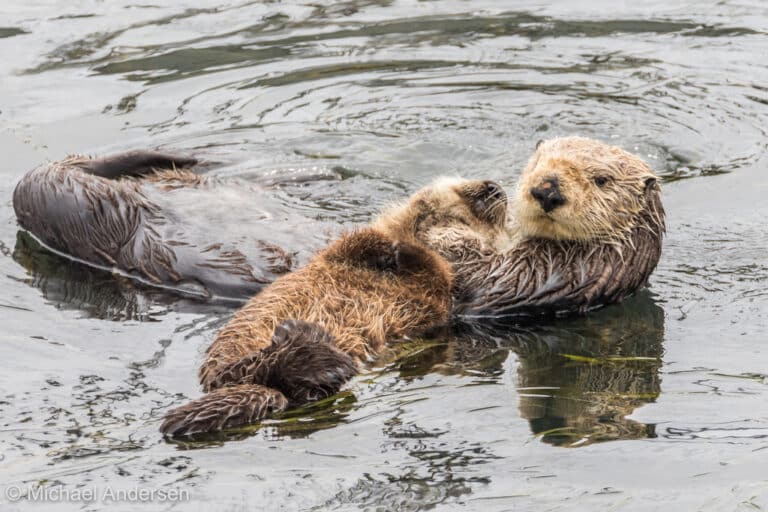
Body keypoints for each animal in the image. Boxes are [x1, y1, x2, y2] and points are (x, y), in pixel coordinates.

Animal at [160, 178, 508, 436]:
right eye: (463, 187)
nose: (493, 187)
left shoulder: (437, 295)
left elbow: (433, 272)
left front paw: (411, 248)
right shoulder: (341, 252)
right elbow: (359, 242)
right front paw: (395, 240)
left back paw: (311, 351)